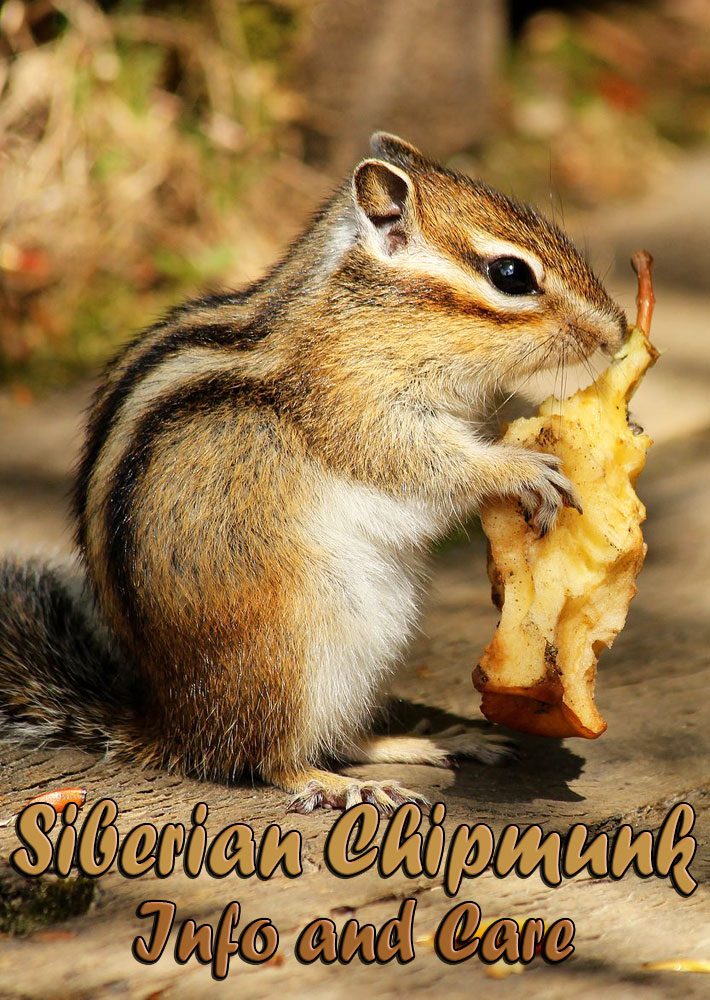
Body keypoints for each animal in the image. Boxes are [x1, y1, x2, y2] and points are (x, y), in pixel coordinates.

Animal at [0, 133, 626, 814]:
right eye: (511, 275)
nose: (617, 330)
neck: (357, 314)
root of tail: (174, 726)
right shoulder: (355, 406)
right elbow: (424, 461)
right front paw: (519, 468)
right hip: (294, 652)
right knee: (269, 758)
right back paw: (340, 784)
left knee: (338, 737)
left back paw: (426, 742)